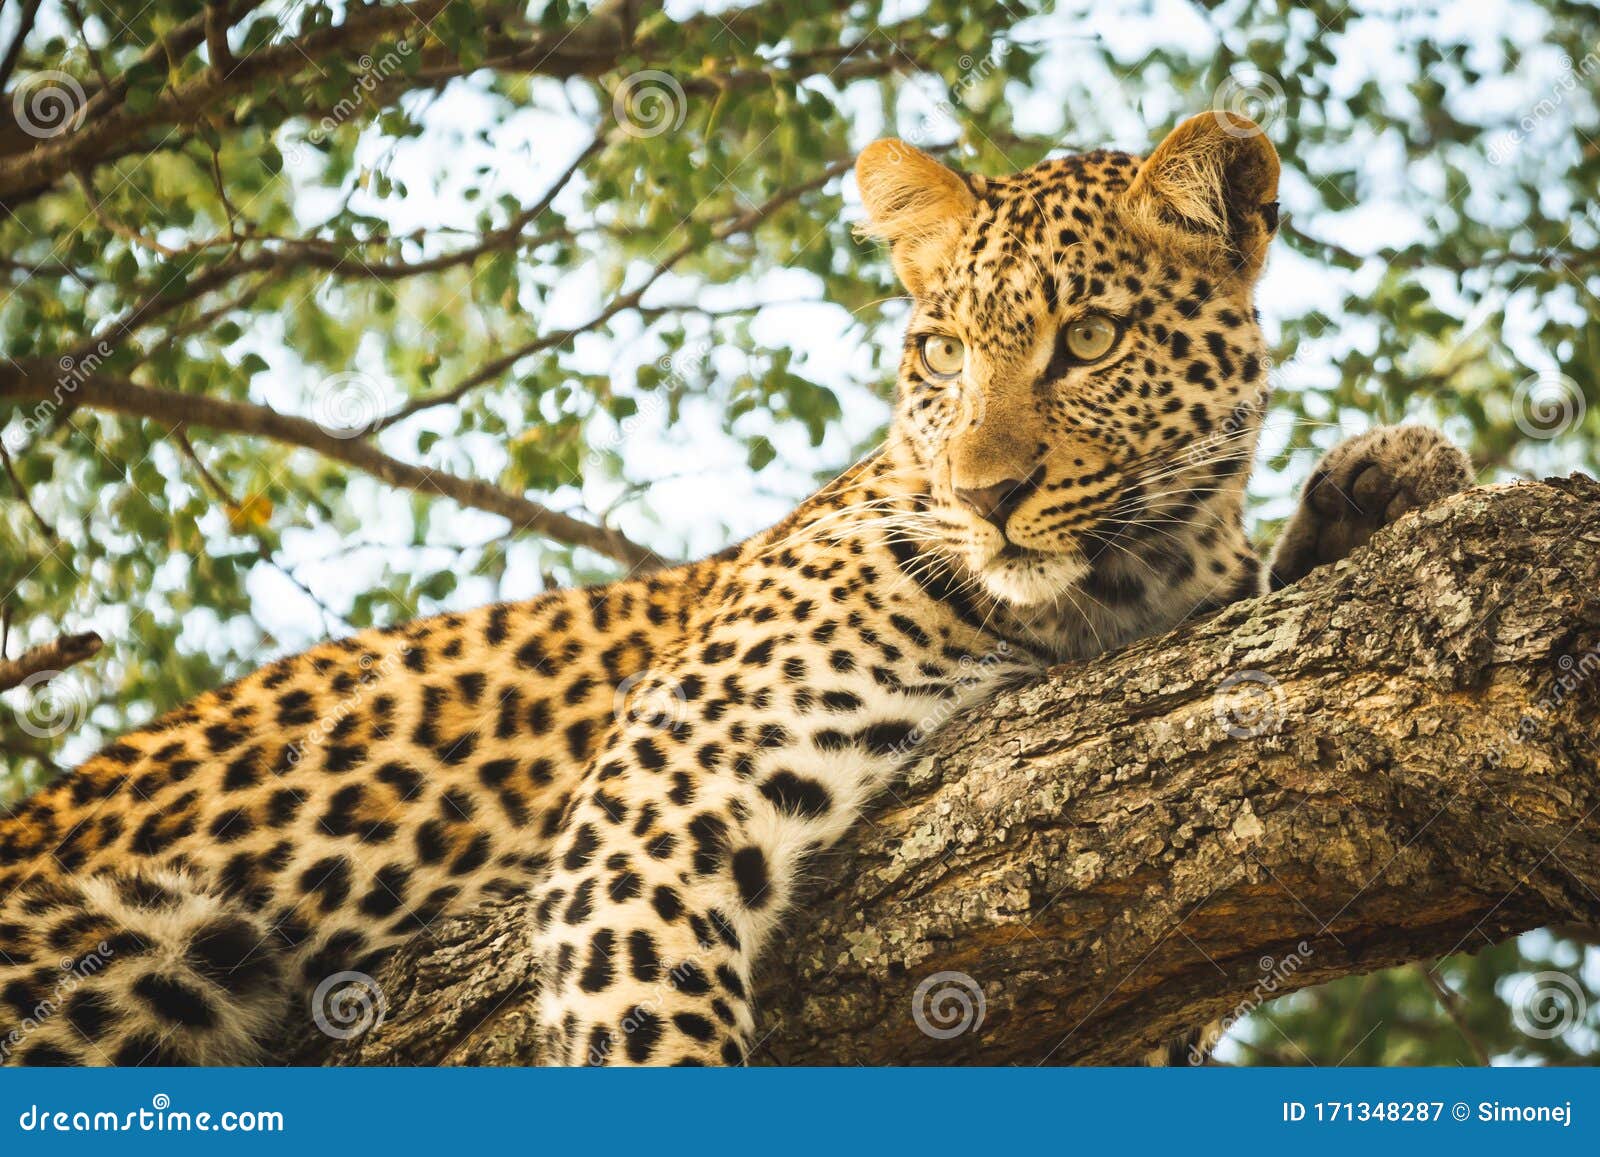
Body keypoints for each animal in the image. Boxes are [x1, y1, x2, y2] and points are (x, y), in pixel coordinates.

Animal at [0, 111, 1472, 1067]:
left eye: (1091, 340)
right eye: (942, 350)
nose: (985, 494)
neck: (1120, 588)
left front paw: (1384, 485)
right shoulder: (654, 802)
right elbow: (651, 1028)